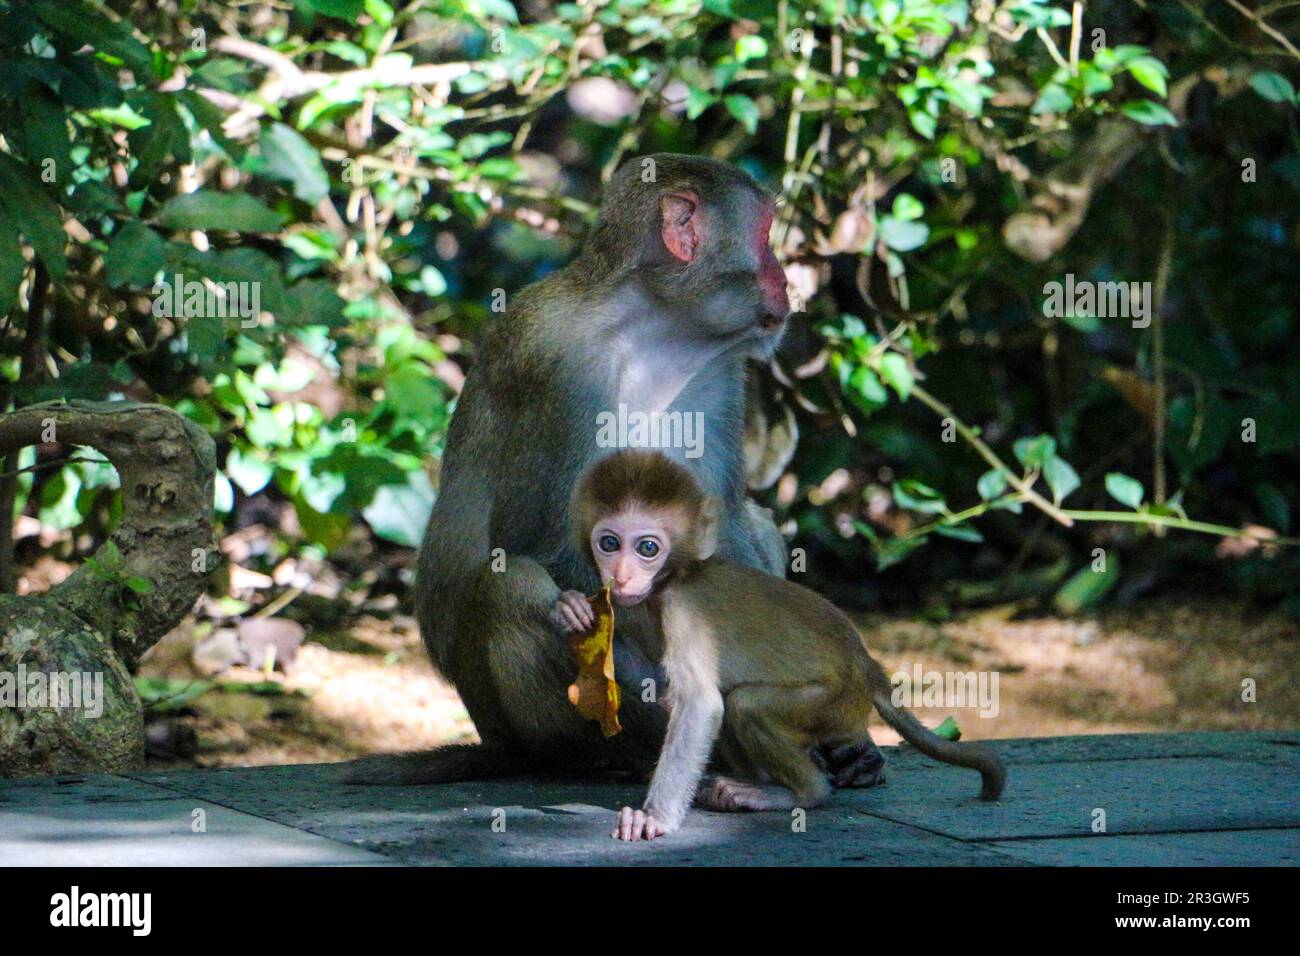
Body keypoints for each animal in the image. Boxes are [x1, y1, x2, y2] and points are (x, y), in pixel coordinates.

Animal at [341, 154, 886, 788]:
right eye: (765, 236)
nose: (787, 283)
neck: (655, 327)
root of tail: (497, 744)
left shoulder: (719, 371)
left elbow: (724, 532)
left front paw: (838, 726)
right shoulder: (561, 366)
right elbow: (544, 545)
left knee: (756, 521)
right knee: (512, 585)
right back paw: (599, 758)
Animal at [552, 449, 1006, 841]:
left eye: (647, 547)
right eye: (609, 543)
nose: (623, 576)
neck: (670, 581)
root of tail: (868, 666)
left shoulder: (684, 610)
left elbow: (699, 704)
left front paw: (655, 819)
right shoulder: (628, 604)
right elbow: (658, 686)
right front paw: (571, 612)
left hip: (836, 704)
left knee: (746, 704)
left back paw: (799, 792)